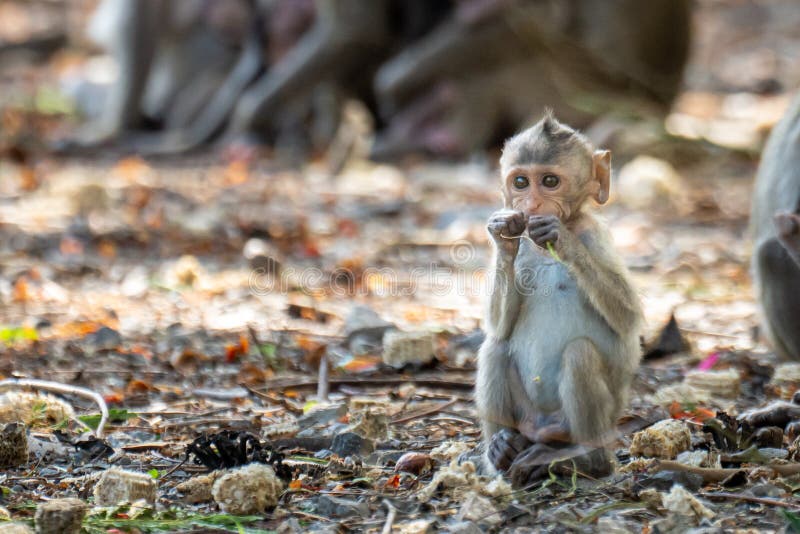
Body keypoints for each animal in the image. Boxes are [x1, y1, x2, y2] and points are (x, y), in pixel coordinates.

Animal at [475, 112, 643, 485]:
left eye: (550, 181)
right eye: (521, 182)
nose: (531, 205)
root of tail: (545, 428)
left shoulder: (596, 237)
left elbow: (629, 319)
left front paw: (562, 239)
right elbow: (498, 327)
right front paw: (501, 233)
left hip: (596, 420)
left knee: (579, 354)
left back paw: (585, 459)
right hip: (528, 415)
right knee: (495, 347)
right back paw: (502, 448)